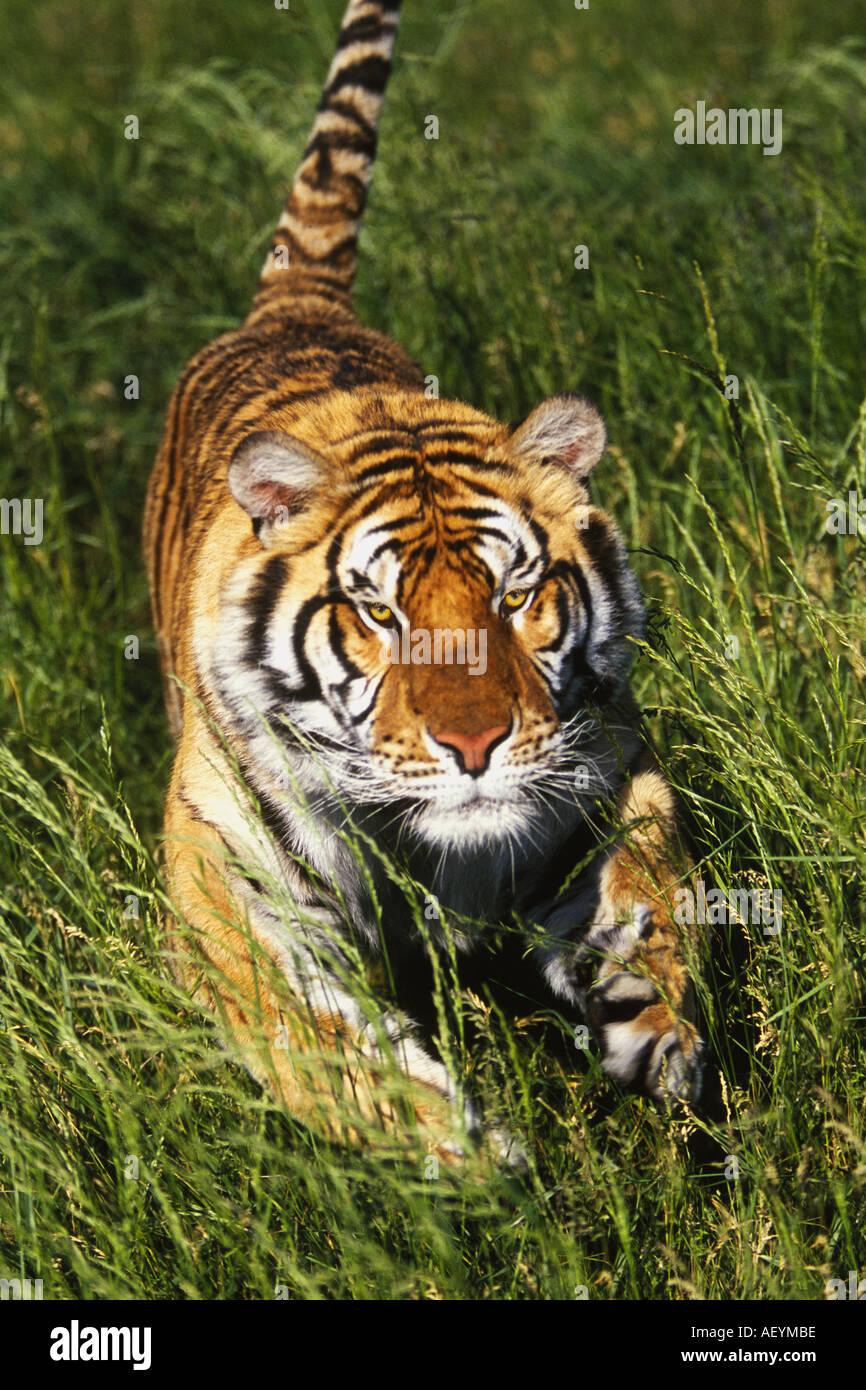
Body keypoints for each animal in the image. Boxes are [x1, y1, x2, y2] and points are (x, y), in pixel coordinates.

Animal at [144, 0, 704, 1166]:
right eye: (379, 612)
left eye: (513, 596)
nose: (474, 746)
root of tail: (292, 308)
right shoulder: (233, 888)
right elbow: (320, 1042)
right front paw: (471, 1157)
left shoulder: (608, 767)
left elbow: (650, 882)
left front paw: (654, 1020)